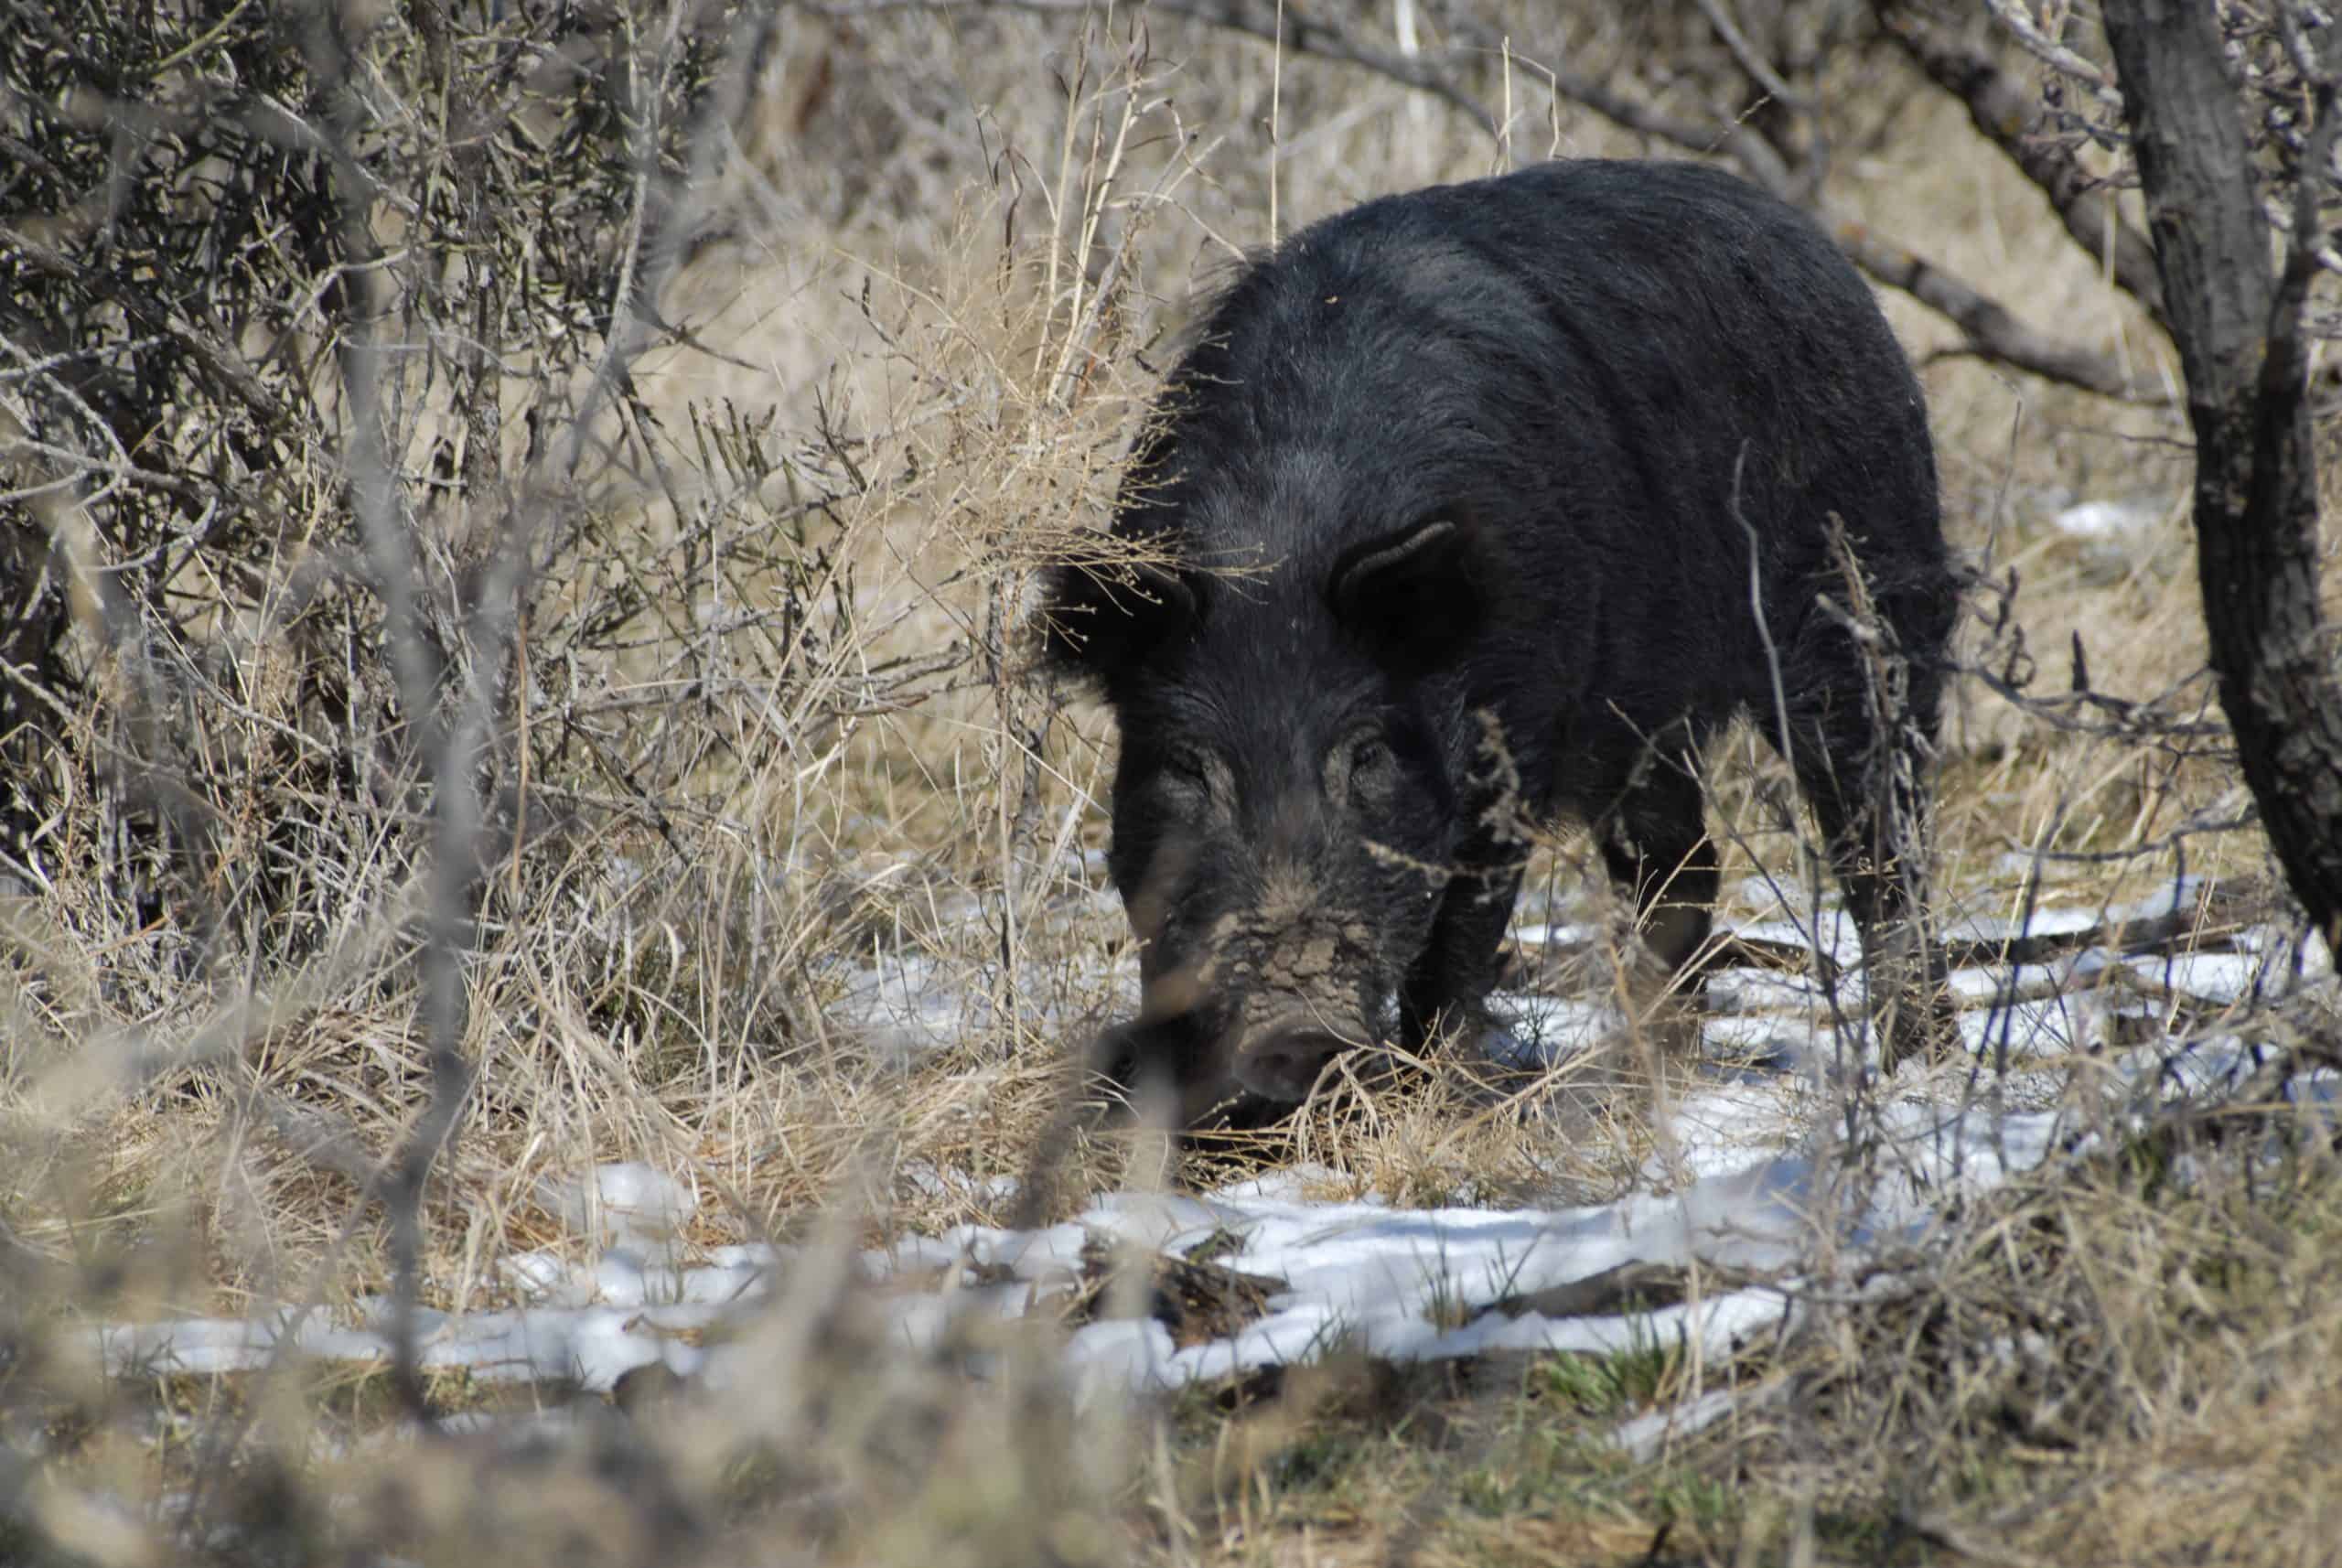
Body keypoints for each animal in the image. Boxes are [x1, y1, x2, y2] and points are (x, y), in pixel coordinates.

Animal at [1041, 159, 1957, 1127]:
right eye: (1186, 764)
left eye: (1367, 754)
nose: (1297, 1032)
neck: (1285, 531)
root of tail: (1815, 243)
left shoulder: (1508, 745)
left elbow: (1457, 945)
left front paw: (1435, 1102)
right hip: (1645, 719)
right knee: (1680, 863)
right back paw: (1655, 1082)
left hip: (1866, 590)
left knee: (1882, 840)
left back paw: (1915, 1066)